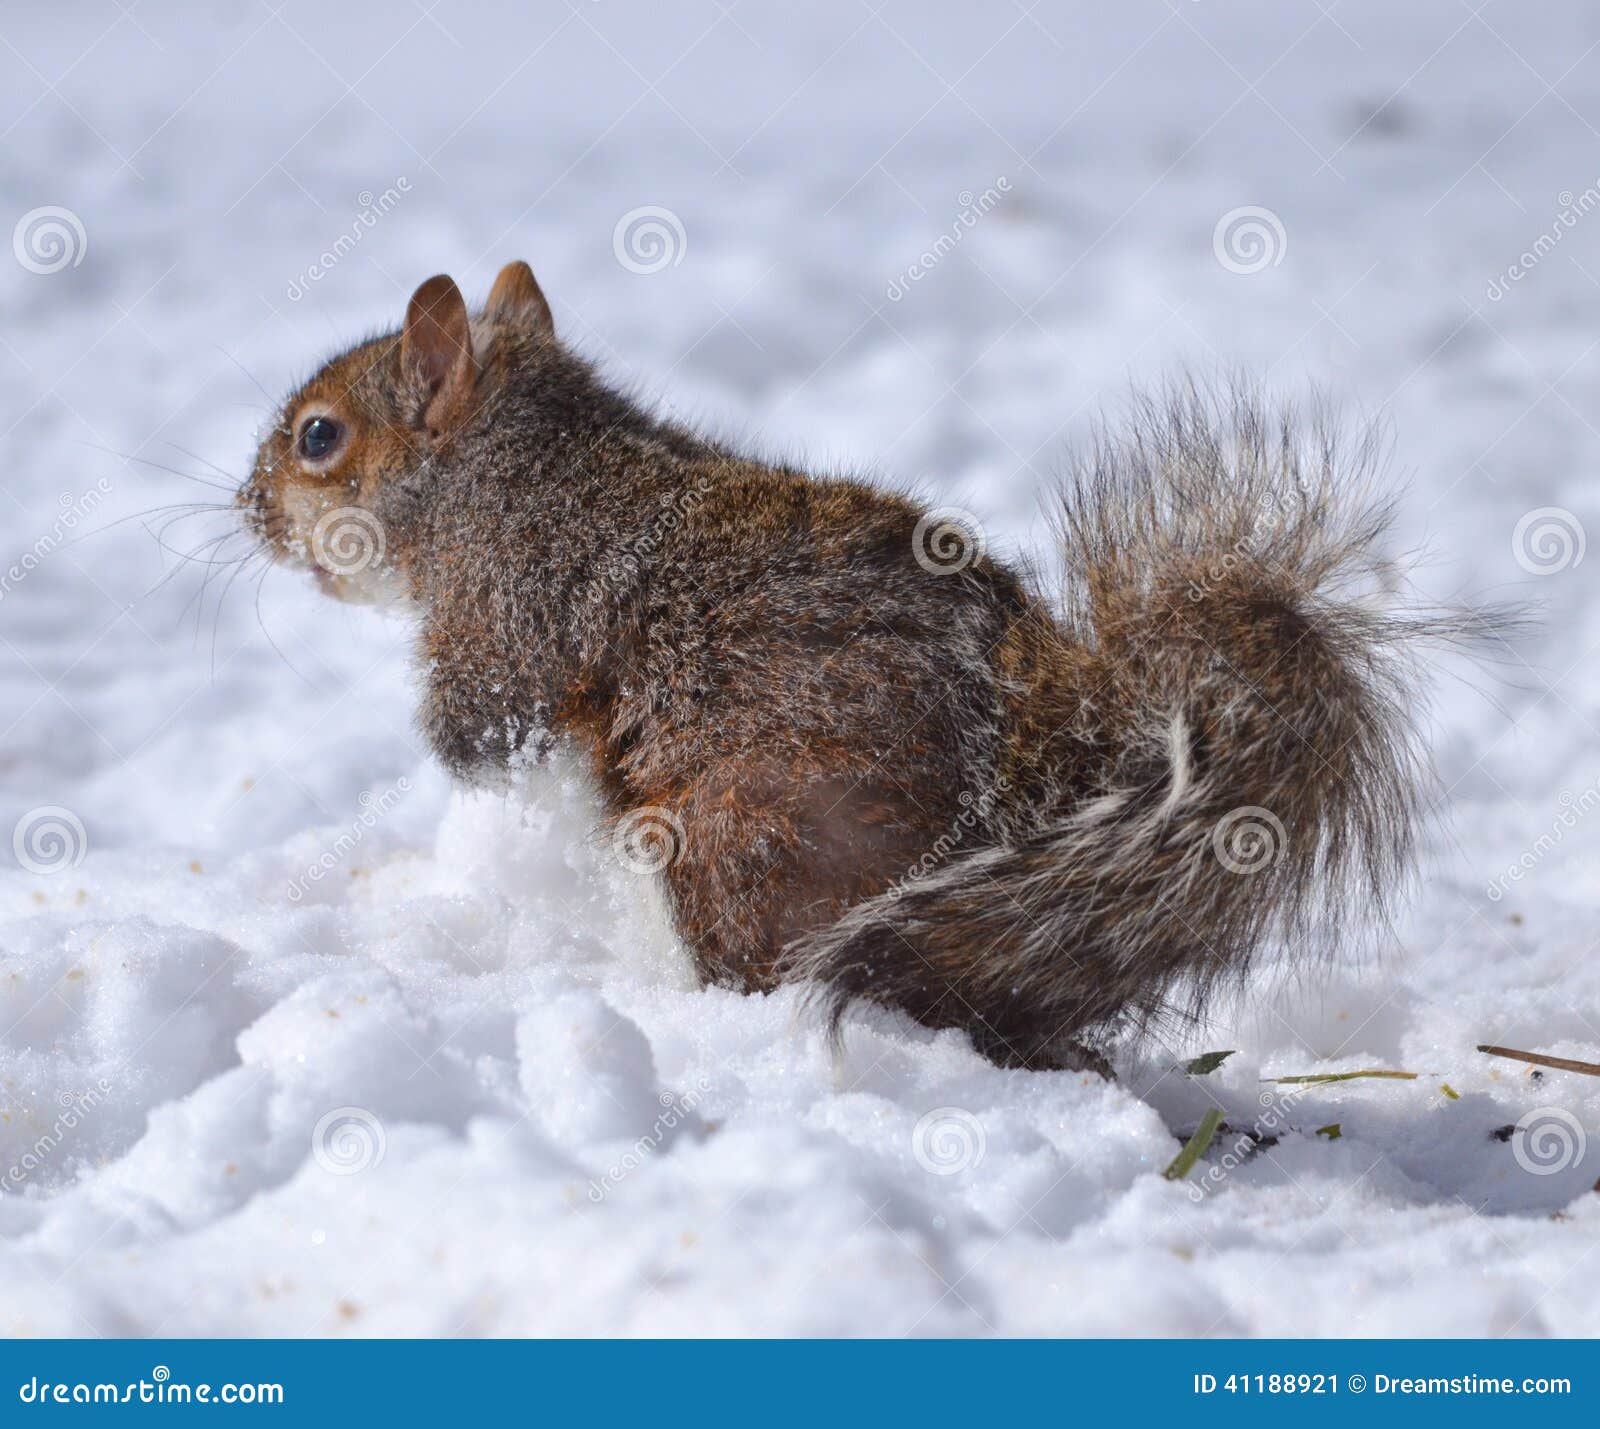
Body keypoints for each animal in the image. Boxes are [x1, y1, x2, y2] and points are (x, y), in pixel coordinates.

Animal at [239, 261, 1458, 1074]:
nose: (248, 511)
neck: (505, 469)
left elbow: (483, 735)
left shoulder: (506, 620)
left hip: (739, 834)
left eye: (318, 436)